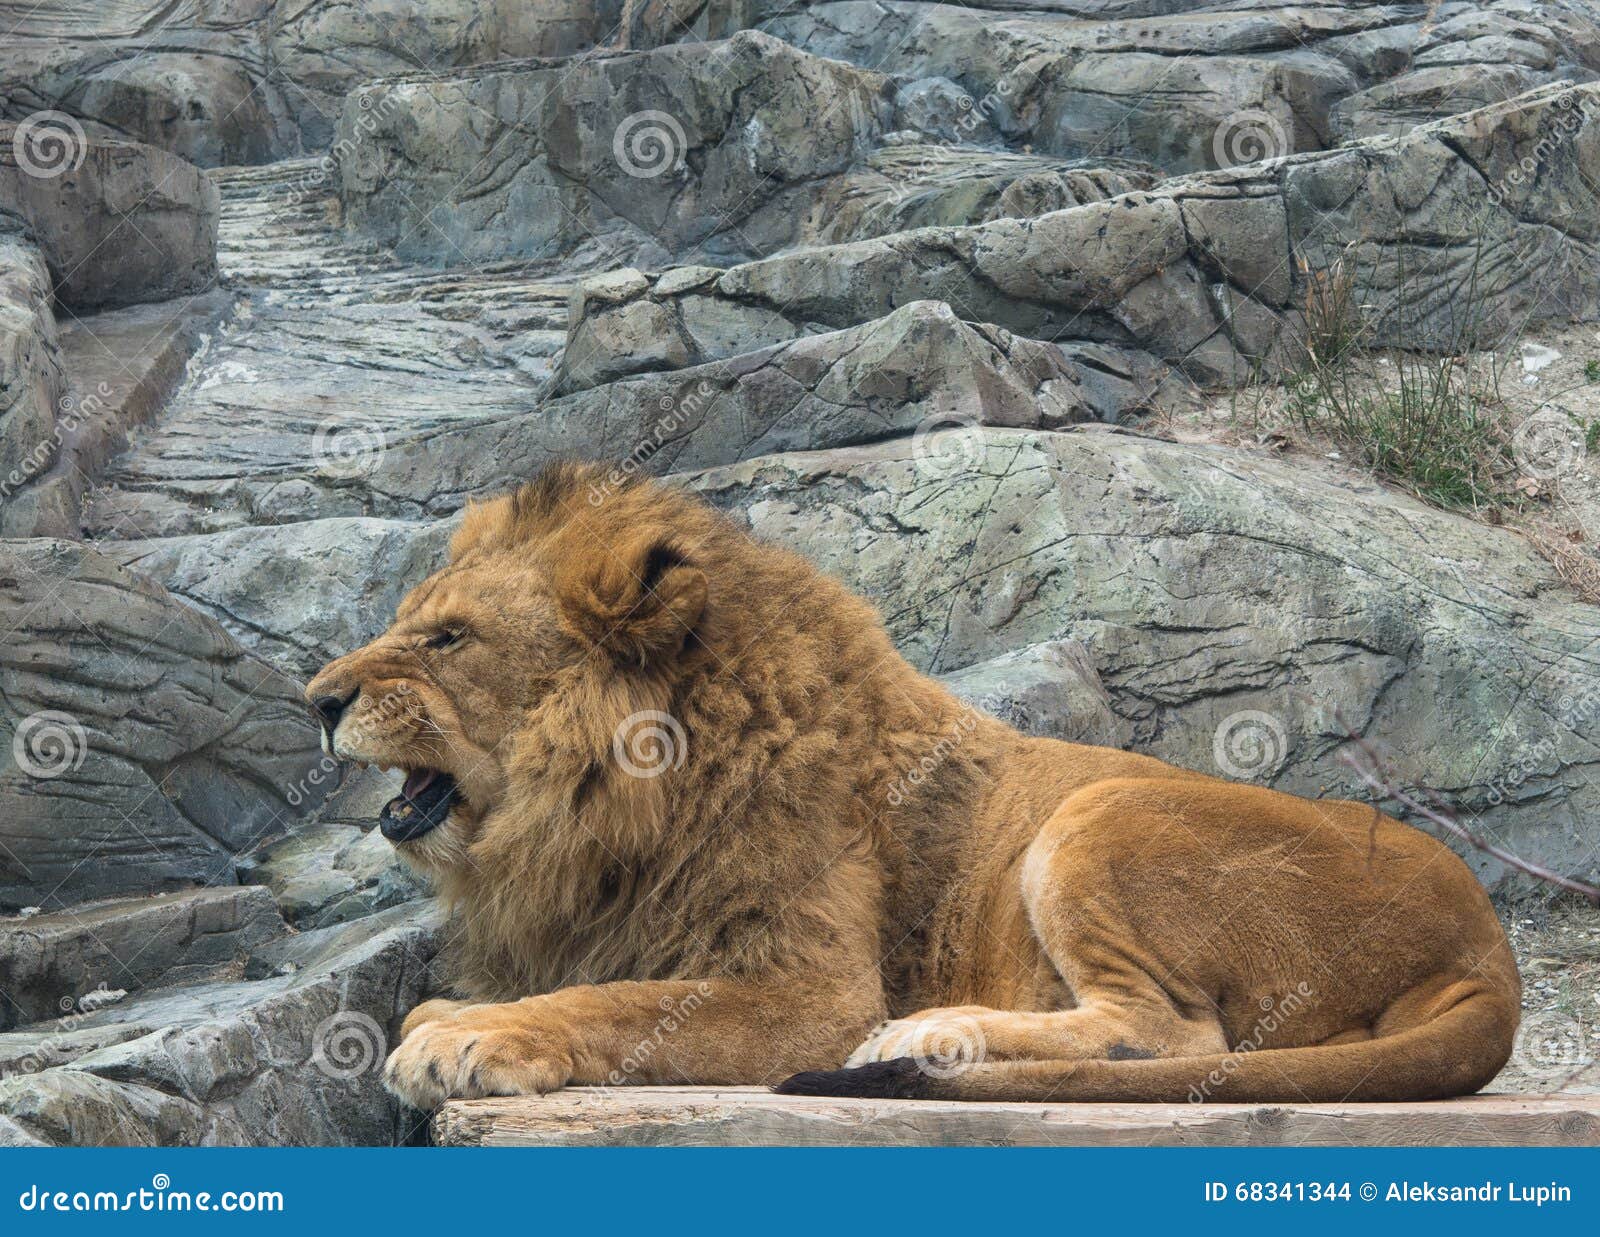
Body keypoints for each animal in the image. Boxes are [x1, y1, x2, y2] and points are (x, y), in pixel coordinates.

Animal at [305, 462, 1519, 1109]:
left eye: (448, 637)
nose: (314, 699)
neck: (603, 811)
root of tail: (1484, 948)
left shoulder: (811, 990)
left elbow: (619, 1003)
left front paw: (467, 1039)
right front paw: (466, 1009)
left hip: (1096, 814)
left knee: (1177, 1037)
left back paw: (928, 1035)